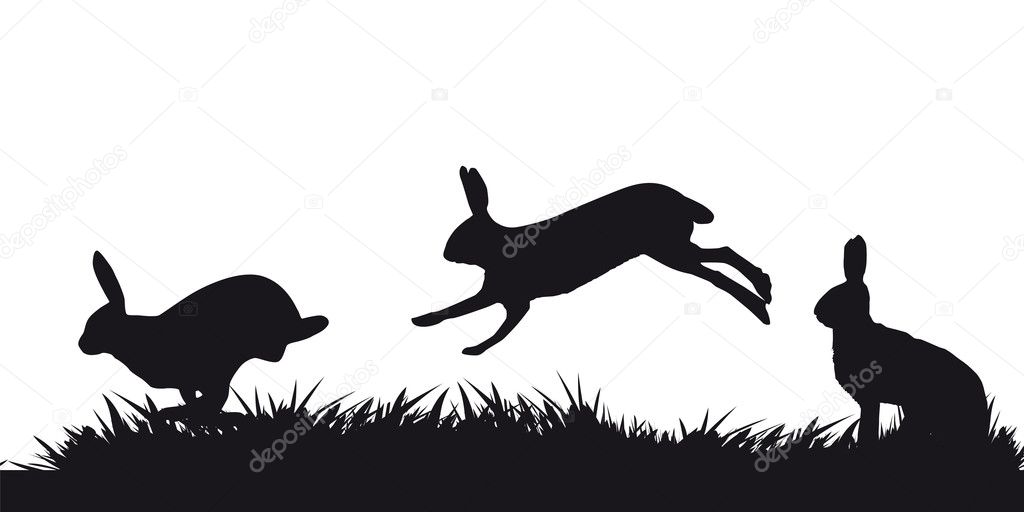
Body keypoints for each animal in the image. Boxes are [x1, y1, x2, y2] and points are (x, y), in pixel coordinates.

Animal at [79, 252, 328, 419]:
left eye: (97, 326)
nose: (81, 344)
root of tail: (296, 322)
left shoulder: (211, 373)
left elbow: (211, 399)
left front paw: (182, 414)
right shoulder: (187, 383)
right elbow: (192, 397)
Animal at [412, 166, 772, 355]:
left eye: (462, 234)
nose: (445, 253)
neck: (499, 247)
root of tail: (683, 201)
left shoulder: (510, 298)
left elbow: (474, 315)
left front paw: (453, 339)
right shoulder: (508, 299)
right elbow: (480, 317)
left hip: (668, 250)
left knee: (715, 270)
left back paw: (760, 306)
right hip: (671, 248)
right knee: (721, 254)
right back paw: (765, 294)